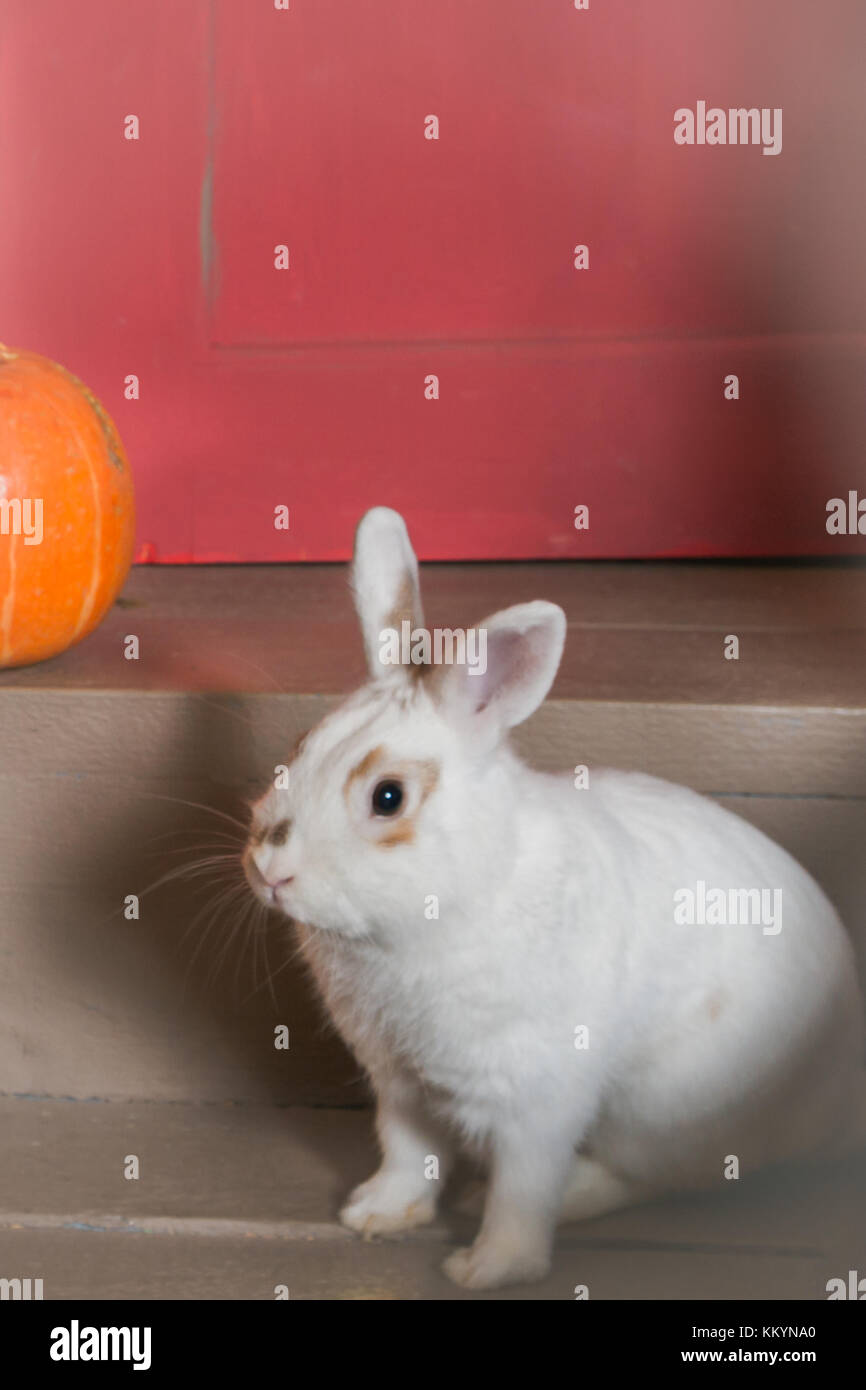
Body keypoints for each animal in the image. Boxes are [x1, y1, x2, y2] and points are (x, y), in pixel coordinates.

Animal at [243, 506, 866, 1290]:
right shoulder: (403, 1087)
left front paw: (486, 1269)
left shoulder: (536, 1102)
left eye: (388, 797)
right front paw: (375, 1214)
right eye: (300, 744)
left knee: (648, 1177)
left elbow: (523, 1187)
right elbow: (408, 1155)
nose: (269, 868)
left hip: (661, 1110)